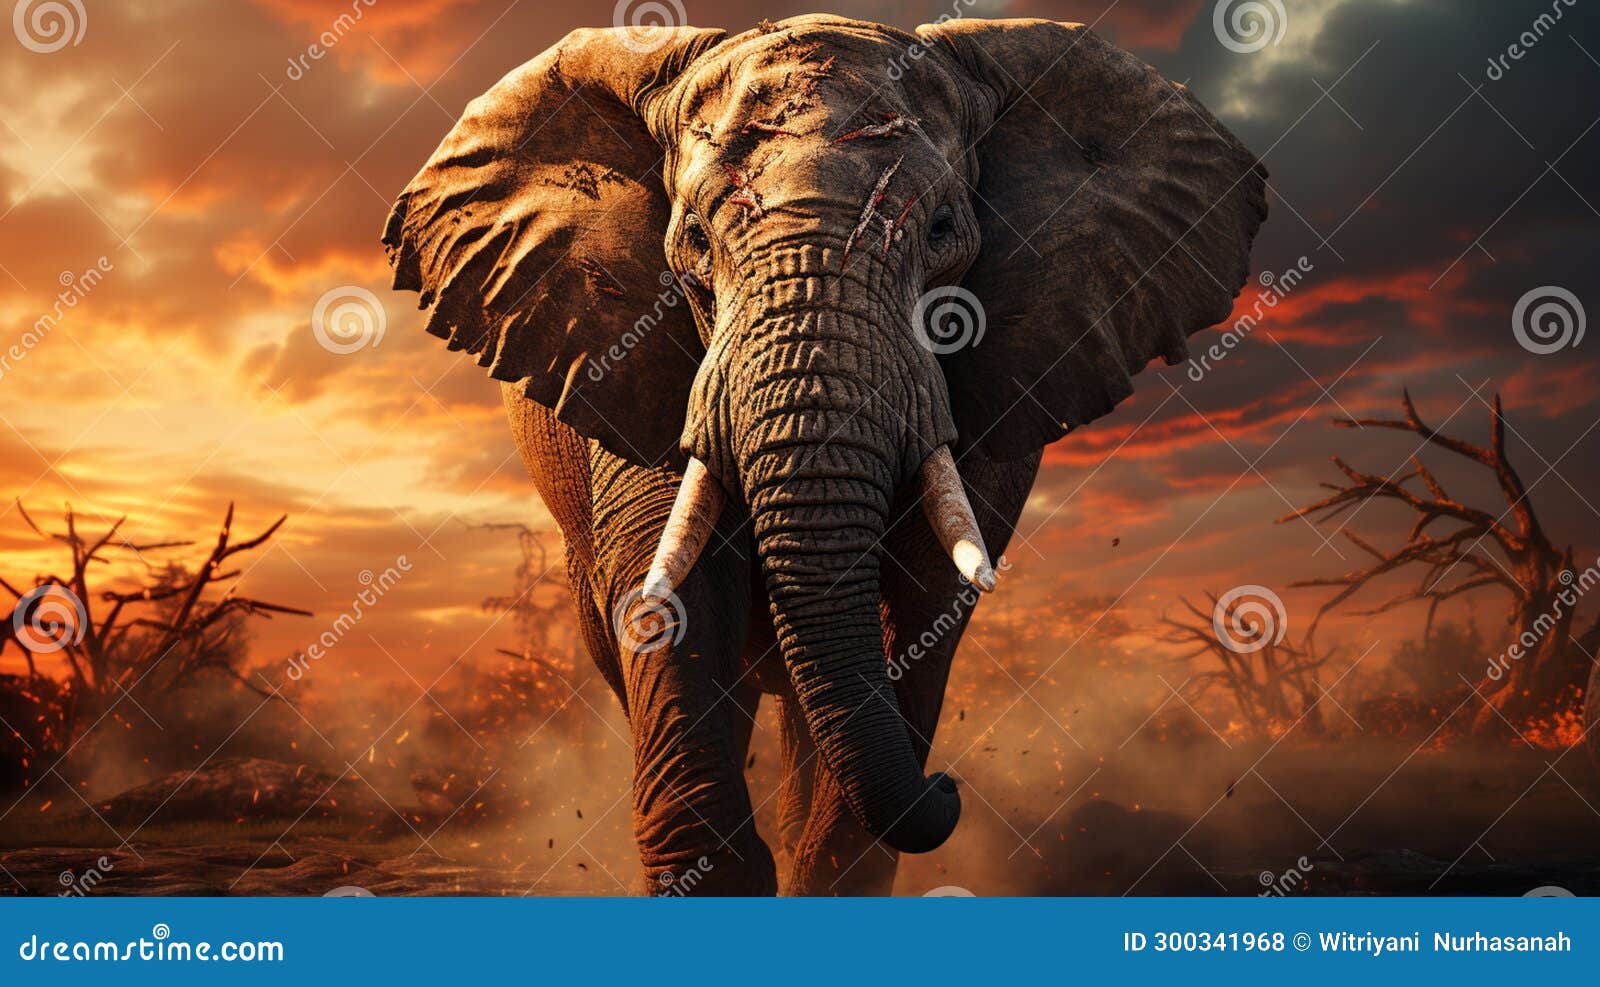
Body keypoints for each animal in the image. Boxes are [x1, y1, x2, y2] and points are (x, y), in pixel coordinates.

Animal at [383, 14, 1266, 895]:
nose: (948, 788)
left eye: (942, 230)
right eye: (694, 242)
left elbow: (921, 603)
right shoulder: (627, 352)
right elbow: (670, 587)